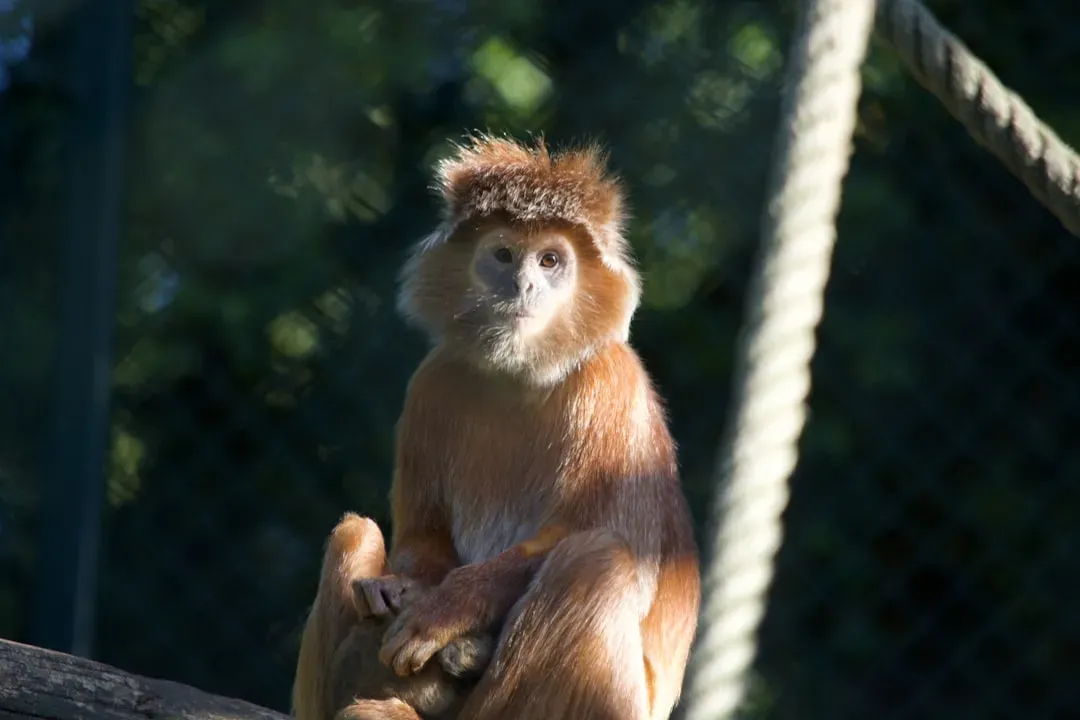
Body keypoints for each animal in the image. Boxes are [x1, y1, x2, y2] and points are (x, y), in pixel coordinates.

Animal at [292, 133, 701, 720]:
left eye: (551, 260)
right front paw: (398, 589)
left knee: (594, 560)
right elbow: (423, 537)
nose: (523, 285)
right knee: (355, 531)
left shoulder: (611, 383)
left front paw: (447, 608)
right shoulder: (432, 381)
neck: (519, 374)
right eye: (504, 255)